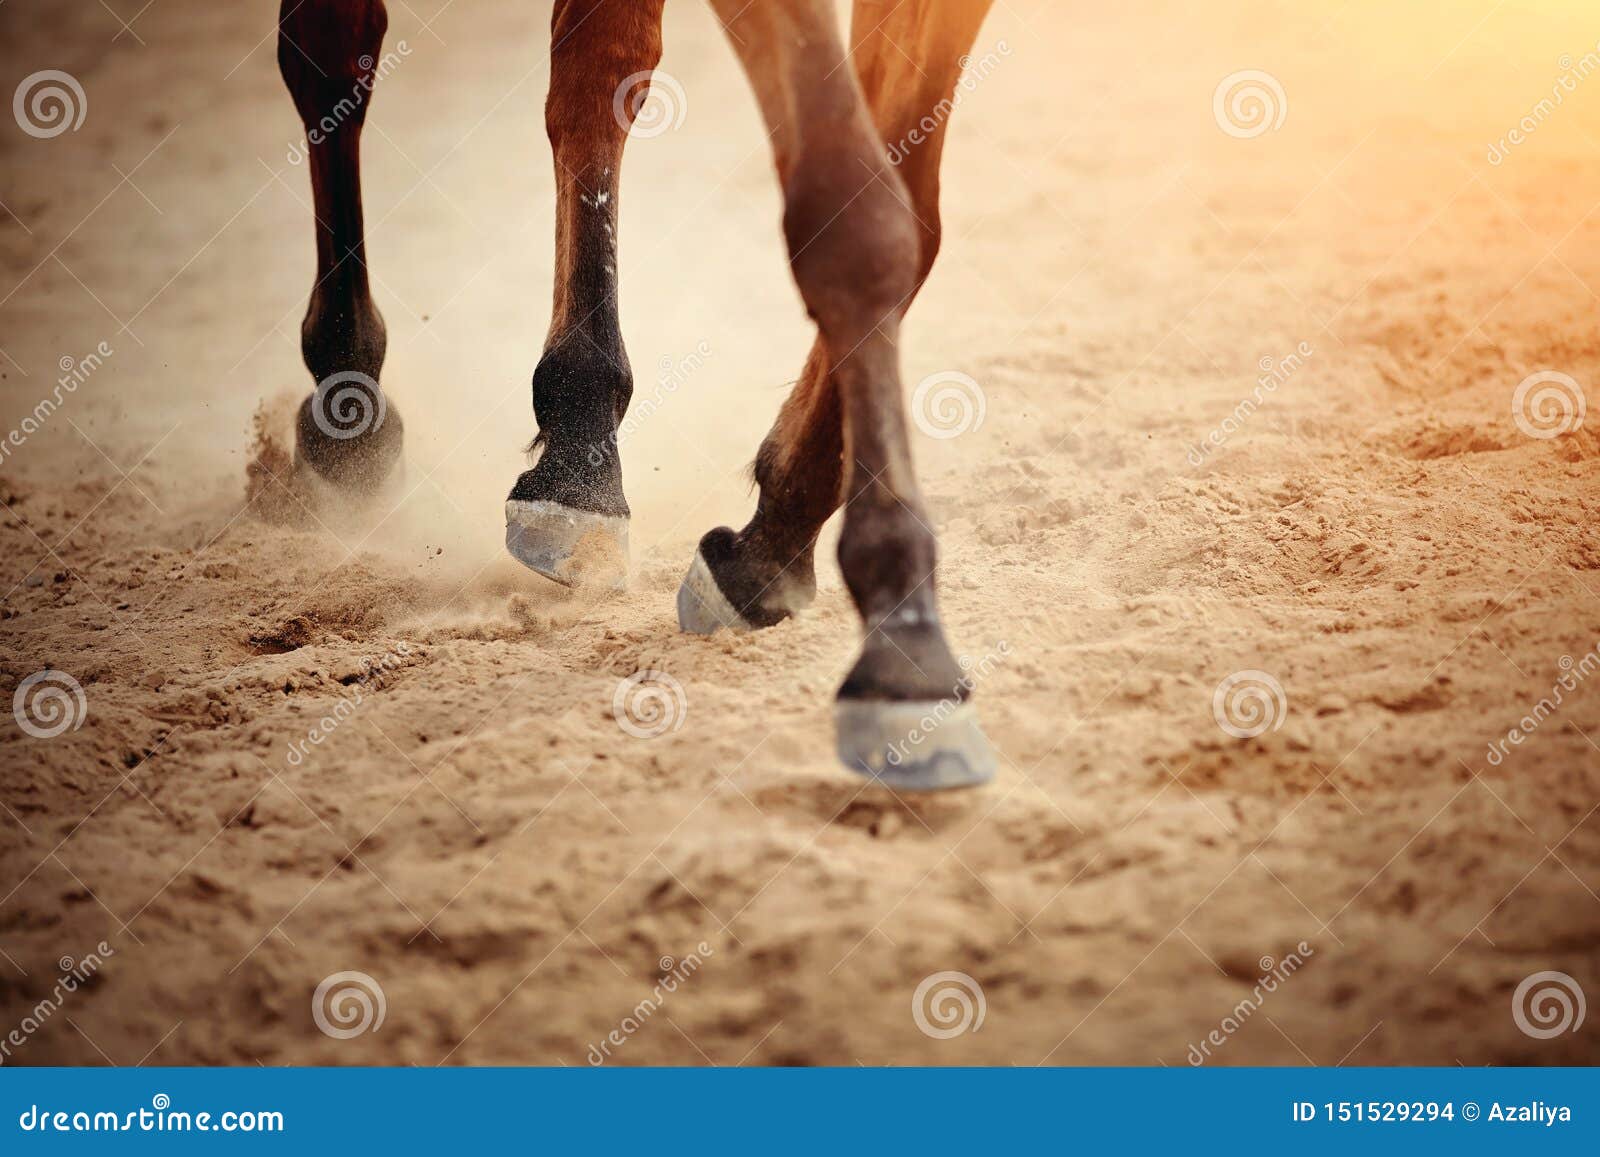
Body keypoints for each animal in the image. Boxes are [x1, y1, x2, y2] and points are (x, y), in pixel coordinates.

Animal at [277, 0, 998, 790]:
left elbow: (907, 216)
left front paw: (773, 544)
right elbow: (854, 221)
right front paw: (907, 657)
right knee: (334, 47)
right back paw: (358, 402)